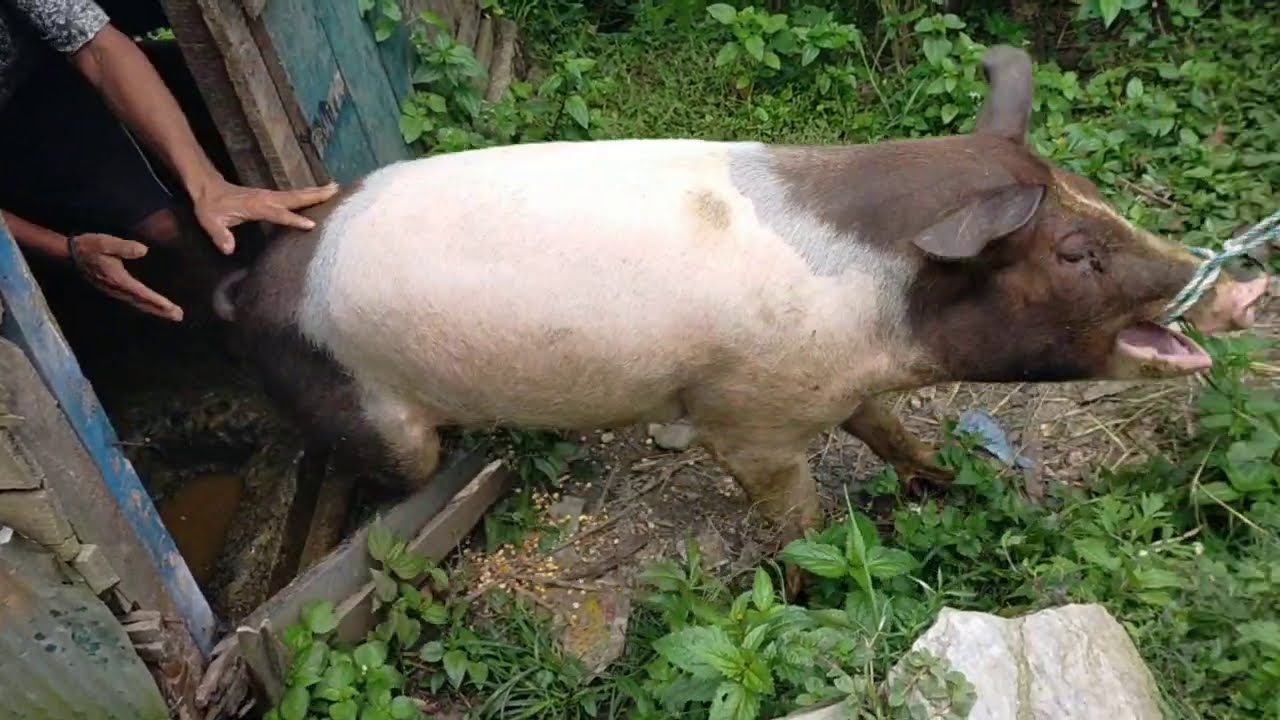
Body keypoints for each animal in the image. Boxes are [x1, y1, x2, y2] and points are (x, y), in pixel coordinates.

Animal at [212, 45, 1269, 573]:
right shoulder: (751, 416)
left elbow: (888, 432)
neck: (886, 313)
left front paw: (944, 481)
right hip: (372, 416)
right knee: (393, 468)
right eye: (1076, 253)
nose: (1249, 287)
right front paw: (813, 579)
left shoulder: (845, 380)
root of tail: (251, 284)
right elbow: (793, 513)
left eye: (1097, 196)